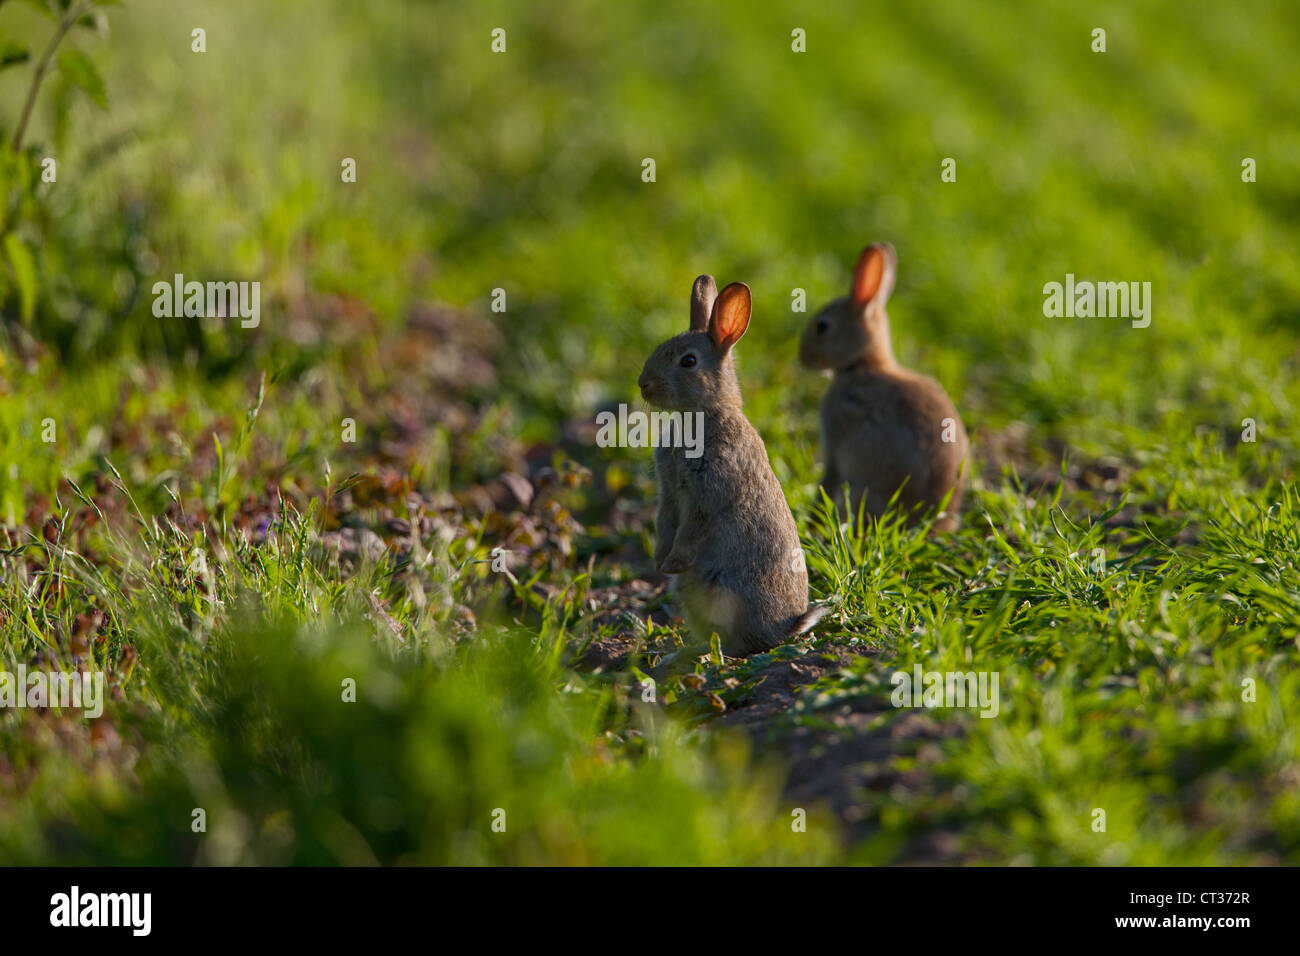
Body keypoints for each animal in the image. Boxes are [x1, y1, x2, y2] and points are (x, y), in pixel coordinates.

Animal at [637, 275, 825, 656]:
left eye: (689, 361)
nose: (643, 384)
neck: (703, 415)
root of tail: (788, 626)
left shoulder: (709, 491)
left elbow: (692, 527)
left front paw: (673, 562)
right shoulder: (669, 493)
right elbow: (665, 520)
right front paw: (659, 561)